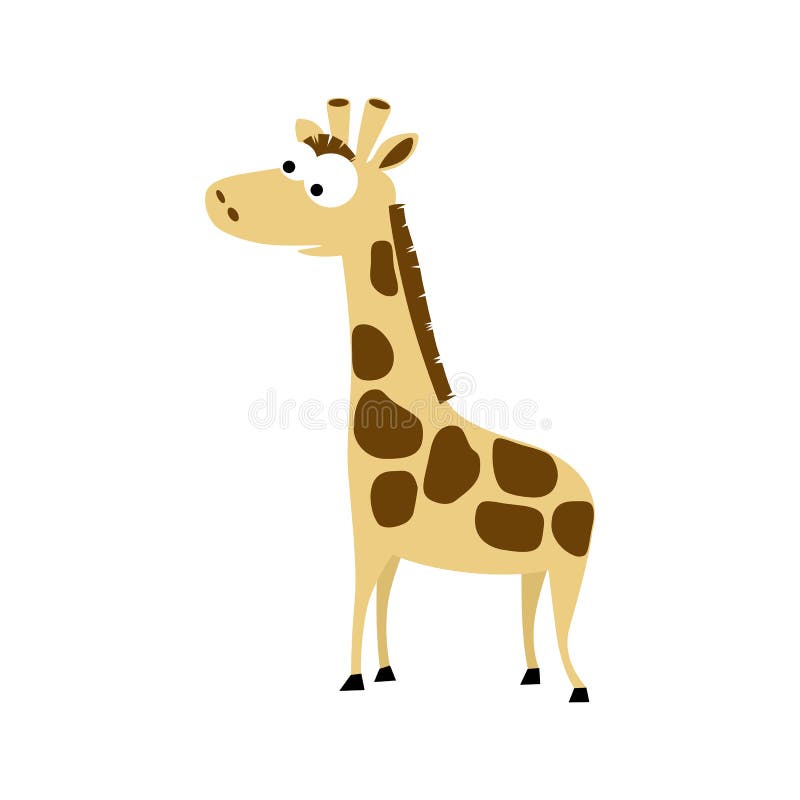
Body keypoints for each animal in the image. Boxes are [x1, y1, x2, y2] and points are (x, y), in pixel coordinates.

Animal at [206, 98, 595, 702]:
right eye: (289, 161)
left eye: (319, 187)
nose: (220, 199)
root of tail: (591, 496)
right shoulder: (387, 540)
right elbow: (383, 598)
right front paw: (384, 672)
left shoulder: (369, 533)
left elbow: (362, 595)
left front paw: (351, 678)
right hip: (537, 565)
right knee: (532, 612)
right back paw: (530, 676)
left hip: (572, 563)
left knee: (562, 621)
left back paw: (577, 687)